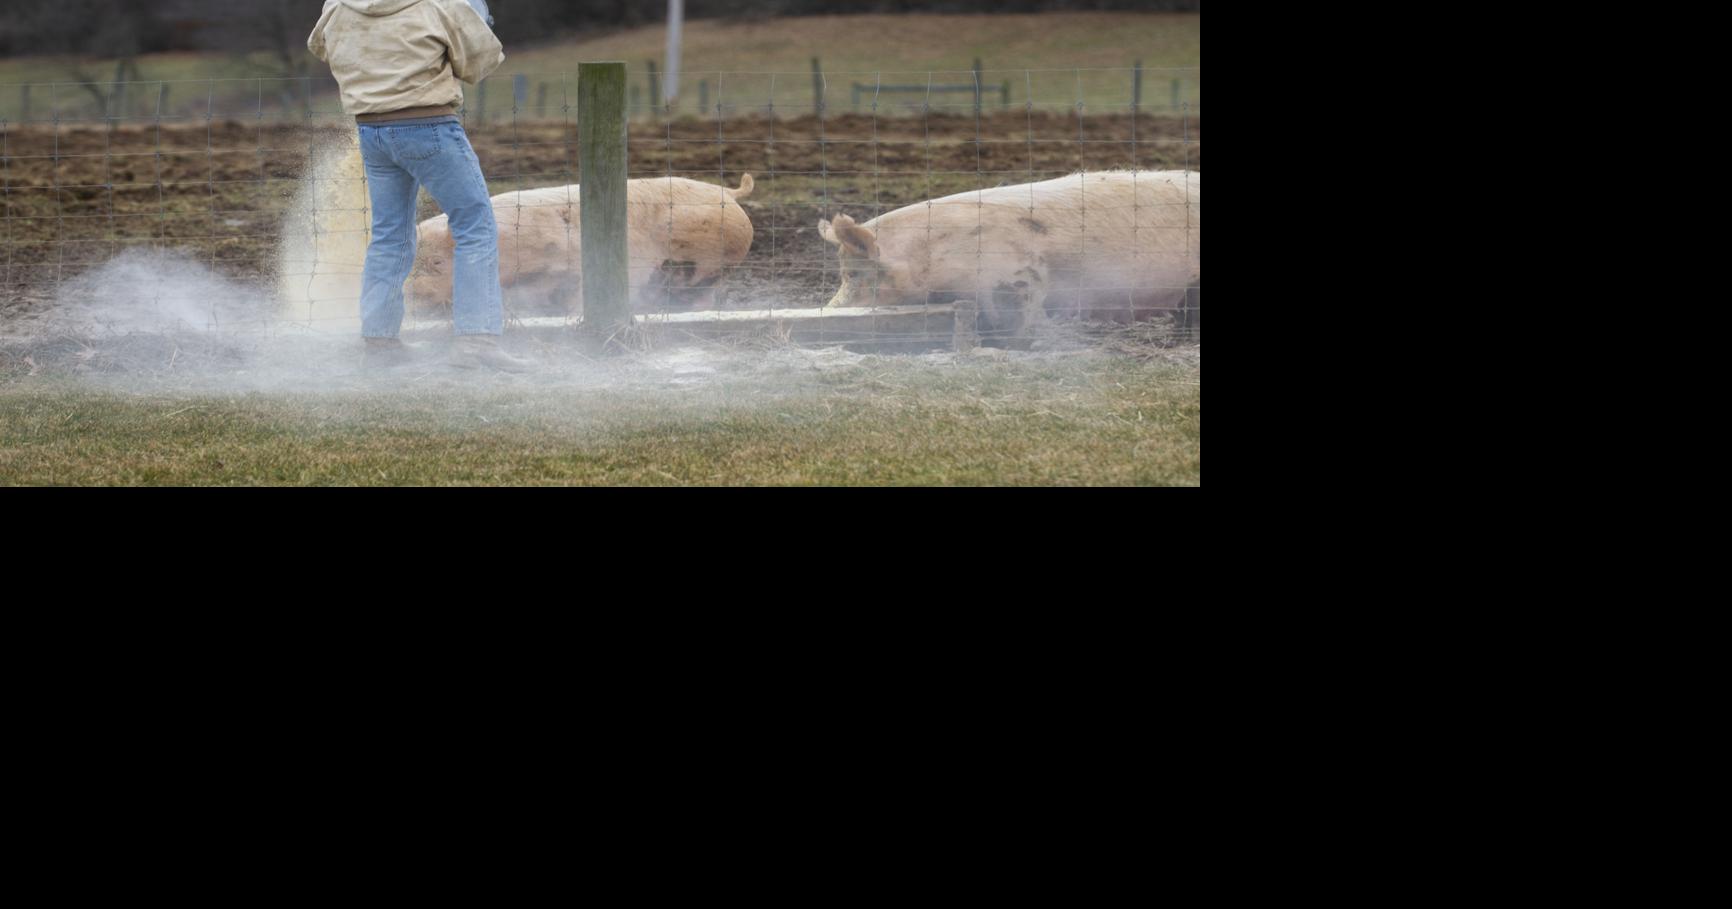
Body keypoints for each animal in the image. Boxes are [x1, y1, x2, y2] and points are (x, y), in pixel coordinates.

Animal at [408, 174, 755, 316]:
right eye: (409, 266)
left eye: (437, 263)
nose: (412, 295)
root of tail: (727, 193)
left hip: (710, 263)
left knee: (701, 293)